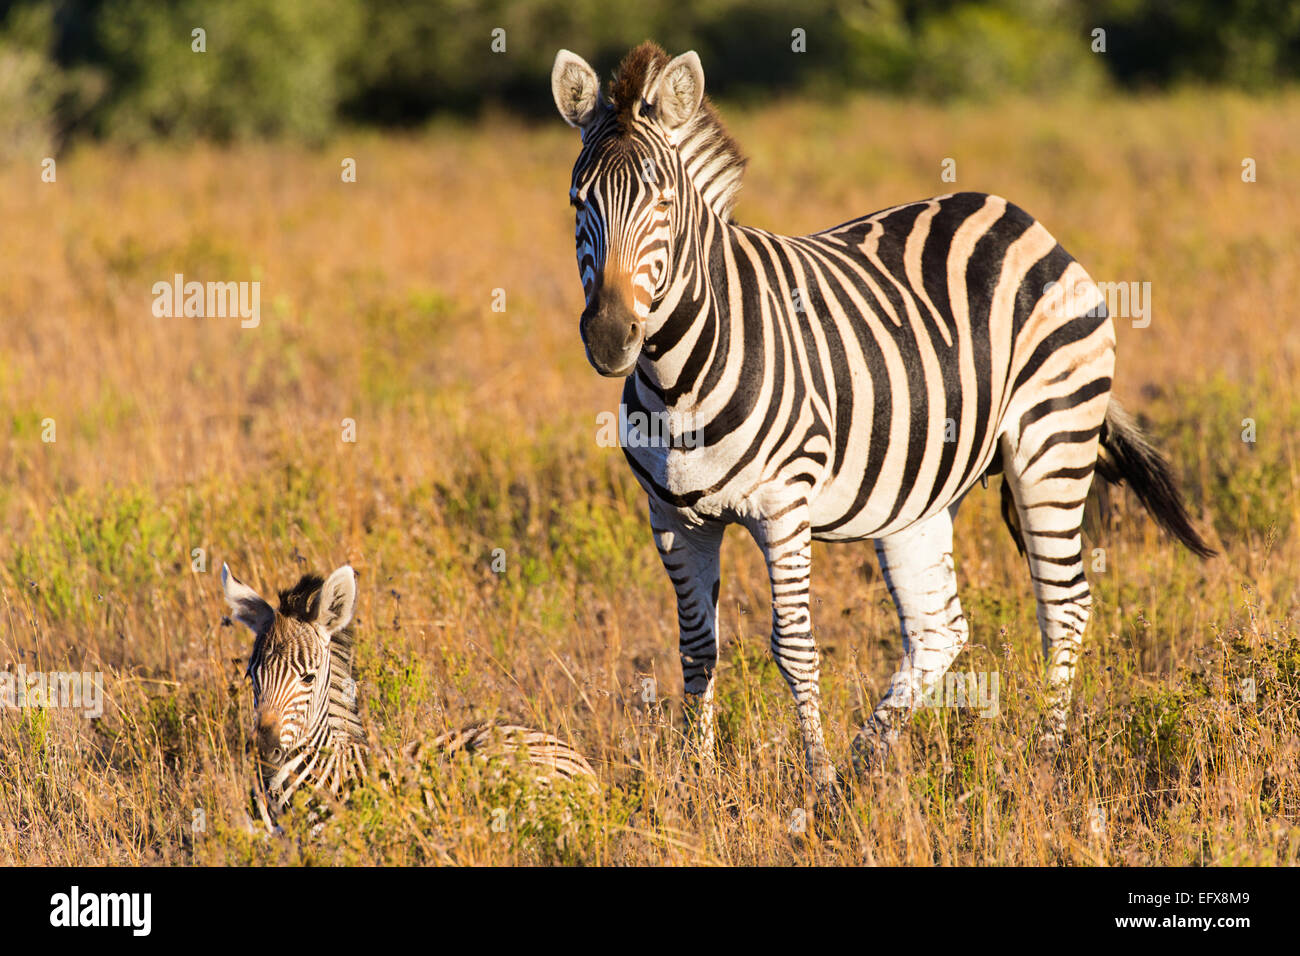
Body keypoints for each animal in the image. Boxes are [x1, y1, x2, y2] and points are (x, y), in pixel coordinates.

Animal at [550, 42, 1213, 793]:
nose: (610, 338)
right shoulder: (671, 517)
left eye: (663, 202)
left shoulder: (783, 505)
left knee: (1063, 603)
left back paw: (1042, 760)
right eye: (577, 202)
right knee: (938, 629)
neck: (677, 378)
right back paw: (865, 767)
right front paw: (698, 785)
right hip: (918, 493)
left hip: (1053, 441)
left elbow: (794, 646)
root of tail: (1018, 216)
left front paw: (814, 782)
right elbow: (696, 648)